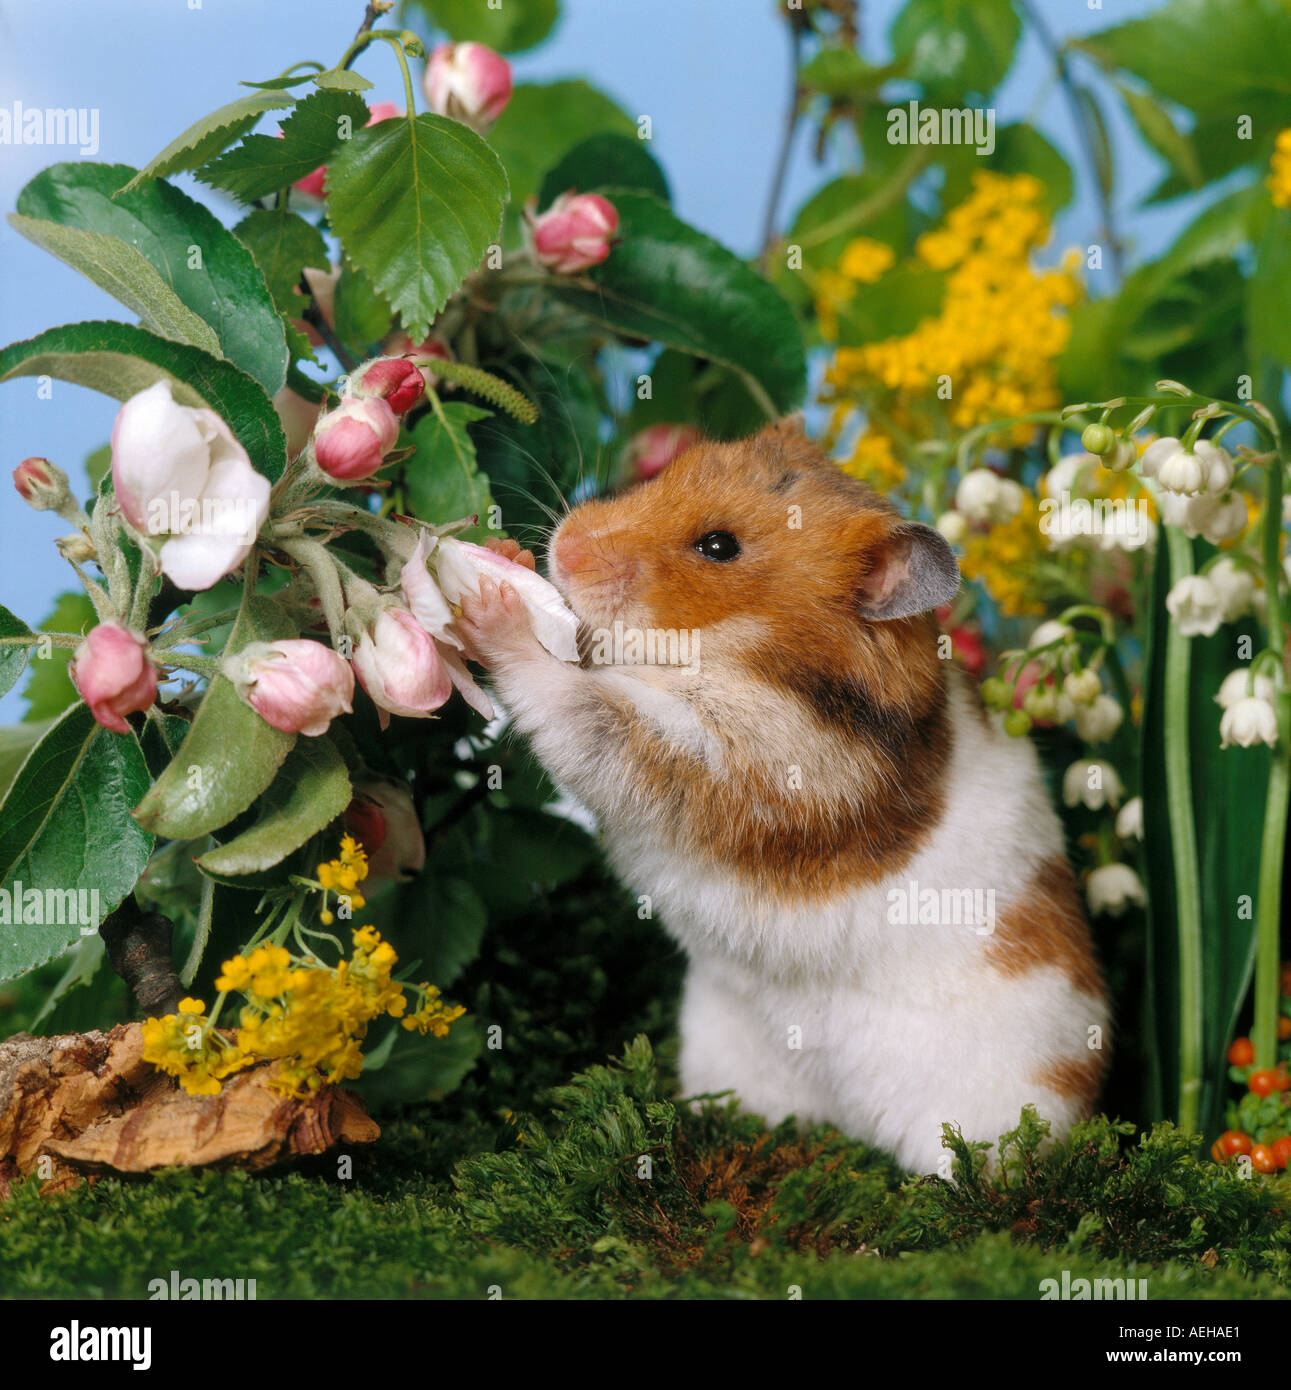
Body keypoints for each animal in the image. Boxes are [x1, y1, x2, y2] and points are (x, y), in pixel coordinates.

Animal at [456, 419, 1108, 1174]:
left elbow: (574, 701)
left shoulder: (735, 762)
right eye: (671, 472)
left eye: (719, 547)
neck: (738, 656)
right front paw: (503, 557)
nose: (561, 546)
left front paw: (494, 606)